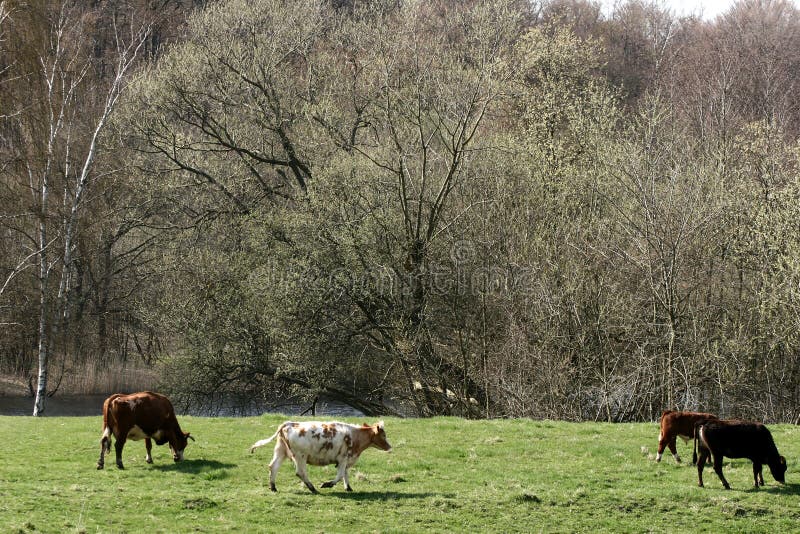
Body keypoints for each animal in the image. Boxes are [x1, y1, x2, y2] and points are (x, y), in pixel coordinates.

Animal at [250, 420, 391, 493]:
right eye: (383, 435)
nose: (390, 447)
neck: (355, 436)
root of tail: (289, 423)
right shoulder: (343, 458)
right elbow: (340, 475)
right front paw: (327, 484)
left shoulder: (346, 460)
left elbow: (345, 474)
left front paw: (348, 488)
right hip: (300, 456)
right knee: (300, 472)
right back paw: (313, 489)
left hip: (281, 451)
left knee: (273, 467)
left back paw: (273, 487)